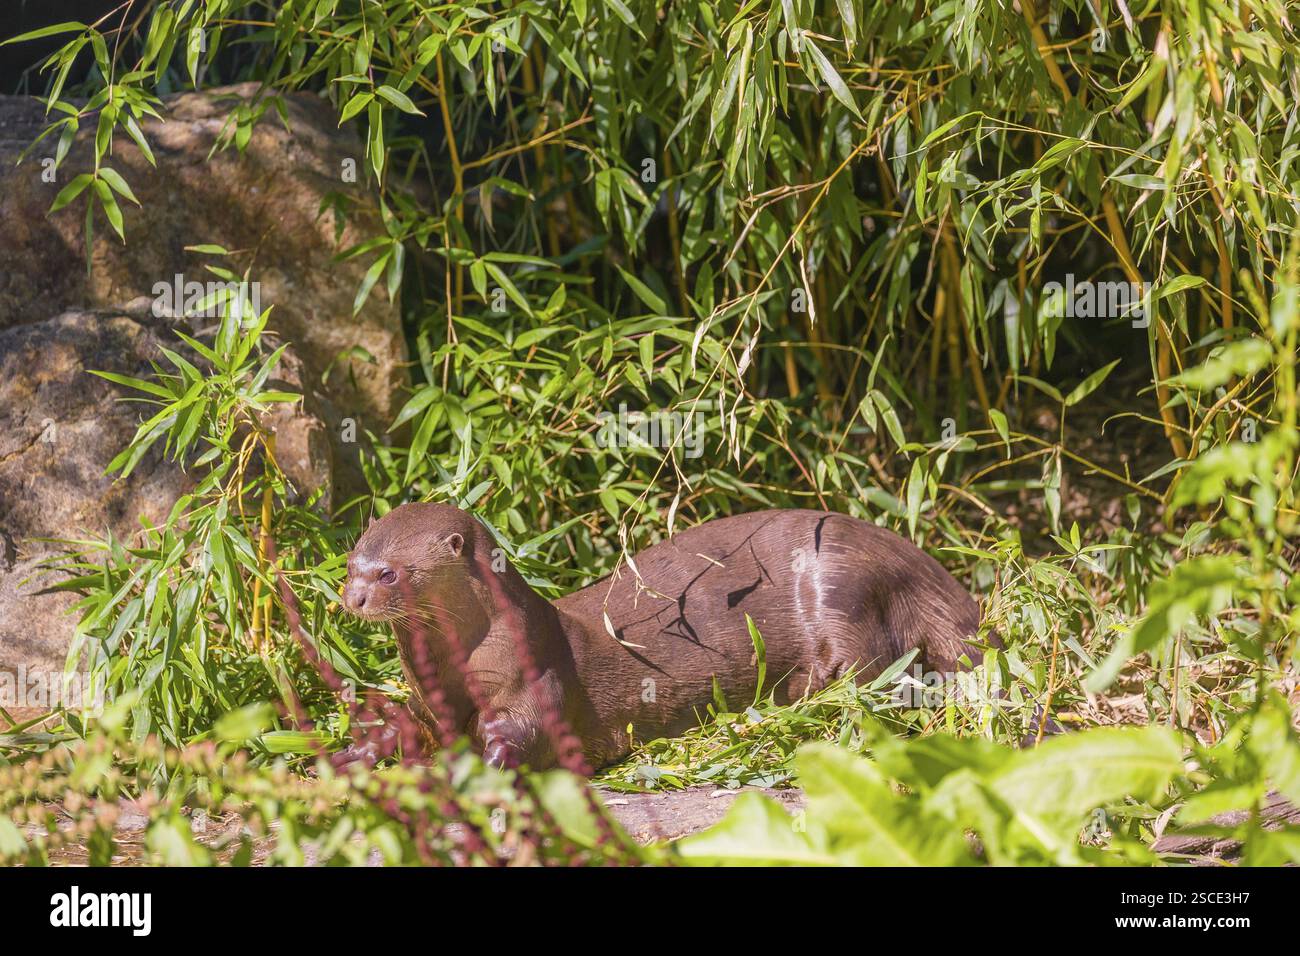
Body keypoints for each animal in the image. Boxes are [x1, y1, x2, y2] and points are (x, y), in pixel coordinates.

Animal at [341, 503, 989, 771]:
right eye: (351, 564)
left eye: (389, 573)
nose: (351, 598)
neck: (463, 665)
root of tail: (915, 561)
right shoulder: (431, 700)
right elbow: (411, 727)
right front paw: (355, 752)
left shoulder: (534, 674)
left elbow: (525, 731)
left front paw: (490, 766)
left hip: (841, 589)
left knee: (873, 671)